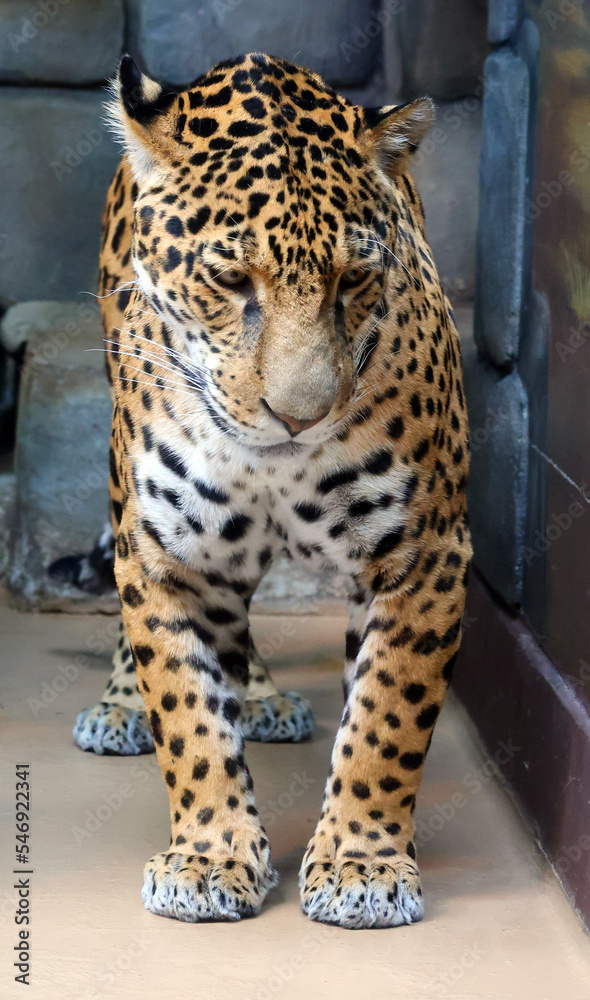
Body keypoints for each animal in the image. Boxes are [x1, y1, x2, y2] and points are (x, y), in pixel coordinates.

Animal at [59, 51, 472, 930]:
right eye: (228, 278)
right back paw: (121, 706)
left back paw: (264, 699)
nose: (299, 415)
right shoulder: (171, 557)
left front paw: (361, 864)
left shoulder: (425, 556)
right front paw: (210, 857)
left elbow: (386, 717)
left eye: (354, 280)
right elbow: (188, 717)